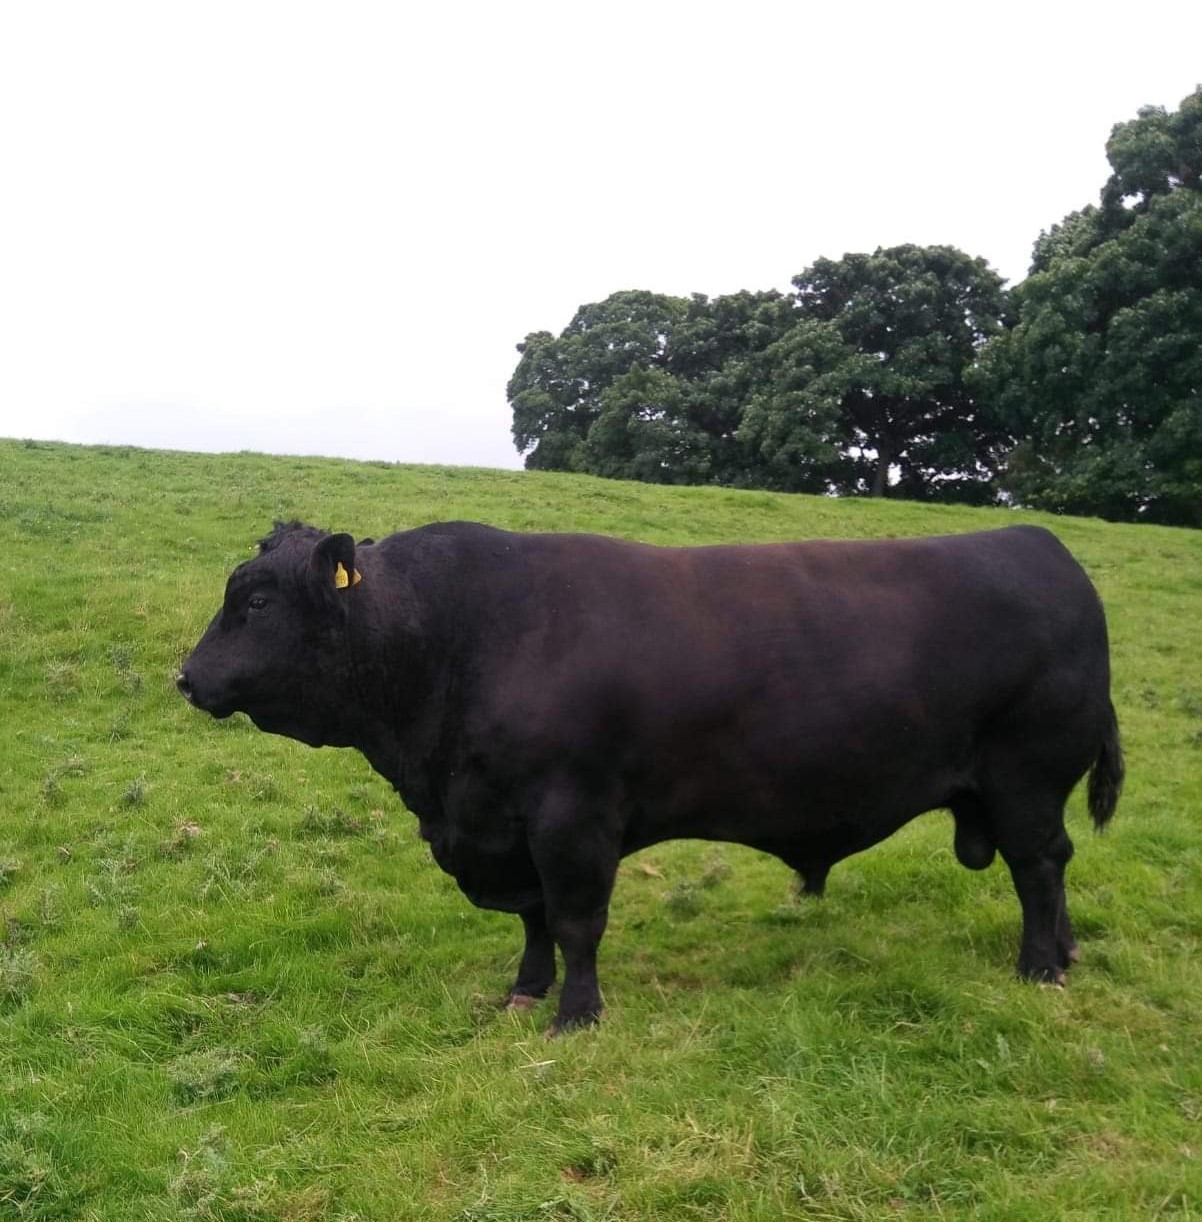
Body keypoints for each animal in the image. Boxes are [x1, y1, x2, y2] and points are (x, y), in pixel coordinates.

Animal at [177, 520, 1123, 1032]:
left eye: (256, 602)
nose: (186, 676)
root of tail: (1044, 546)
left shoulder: (571, 817)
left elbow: (575, 921)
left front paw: (576, 1015)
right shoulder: (504, 827)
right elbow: (533, 923)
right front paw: (524, 994)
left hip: (1025, 777)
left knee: (1039, 865)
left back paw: (1041, 966)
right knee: (1056, 862)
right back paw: (1069, 950)